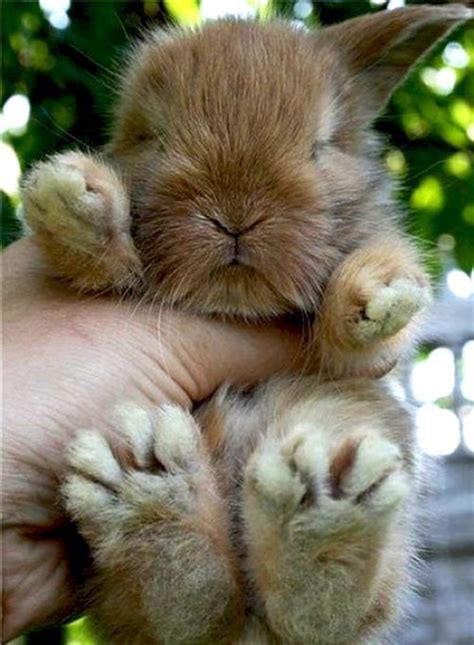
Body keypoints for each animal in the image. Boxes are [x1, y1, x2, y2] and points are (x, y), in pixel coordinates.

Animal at [20, 5, 471, 643]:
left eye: (320, 146)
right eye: (152, 137)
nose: (234, 215)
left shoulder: (352, 364)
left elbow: (362, 333)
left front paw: (382, 293)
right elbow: (93, 261)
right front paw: (72, 198)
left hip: (348, 418)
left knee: (321, 609)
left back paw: (321, 505)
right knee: (185, 609)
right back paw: (149, 492)